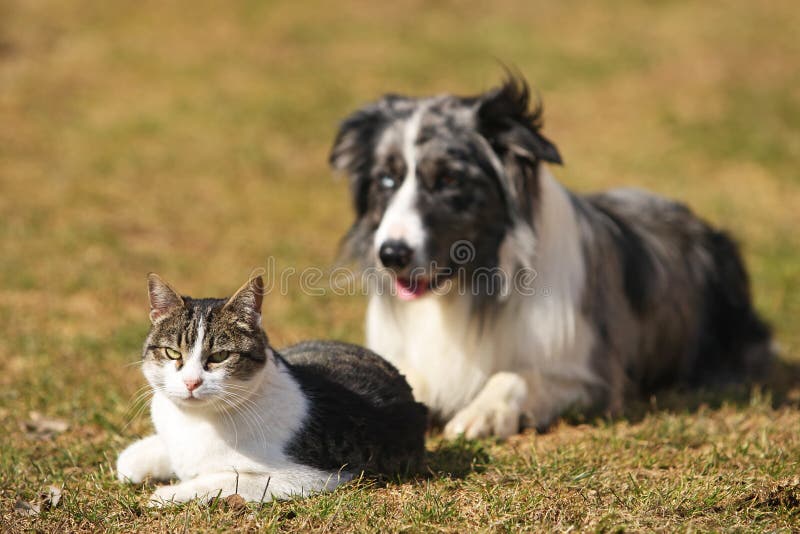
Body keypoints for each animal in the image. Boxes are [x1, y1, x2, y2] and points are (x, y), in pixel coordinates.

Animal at [116, 276, 428, 506]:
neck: (198, 421)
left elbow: (230, 479)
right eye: (172, 353)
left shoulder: (314, 476)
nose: (191, 382)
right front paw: (140, 462)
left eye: (219, 356)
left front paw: (167, 493)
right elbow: (130, 460)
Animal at [328, 76, 772, 444]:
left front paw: (483, 413)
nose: (391, 254)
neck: (472, 285)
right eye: (386, 180)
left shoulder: (596, 378)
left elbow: (516, 375)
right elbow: (405, 375)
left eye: (449, 179)